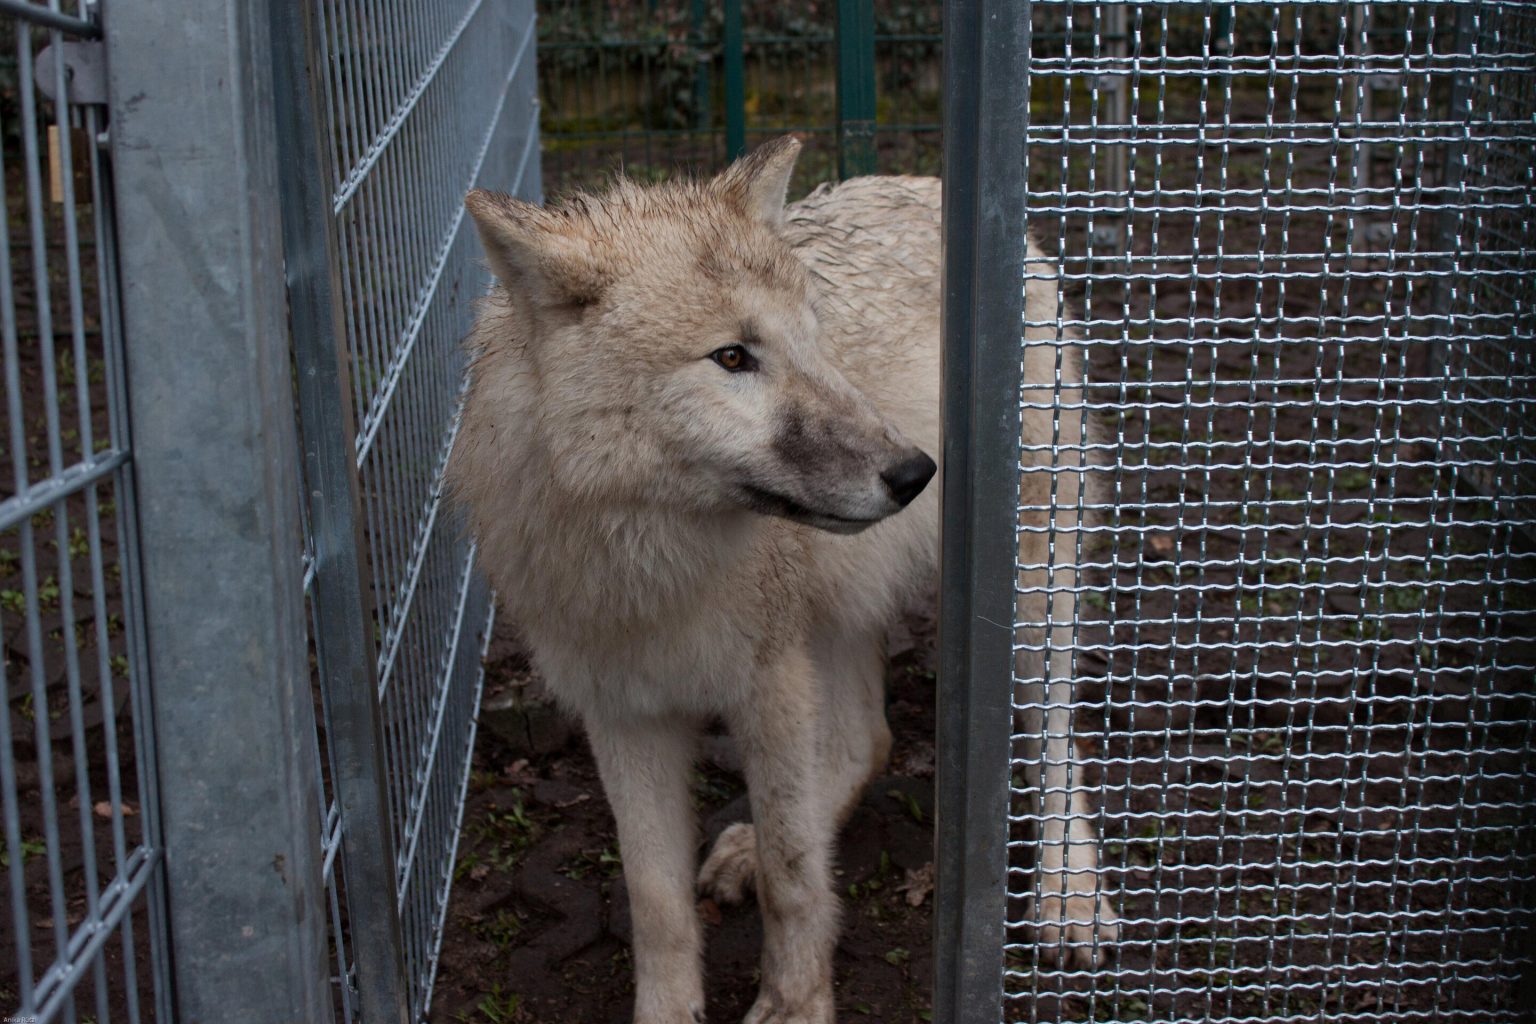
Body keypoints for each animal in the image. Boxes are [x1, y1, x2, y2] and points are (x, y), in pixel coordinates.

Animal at [448, 135, 1117, 1024]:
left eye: (814, 341)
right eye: (732, 357)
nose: (915, 473)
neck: (647, 561)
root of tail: (929, 182)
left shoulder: (769, 683)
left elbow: (796, 881)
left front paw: (796, 1003)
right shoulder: (622, 711)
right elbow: (656, 901)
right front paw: (671, 1010)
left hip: (1027, 598)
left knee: (1053, 739)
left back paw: (1069, 898)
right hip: (833, 614)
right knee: (867, 741)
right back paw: (743, 849)